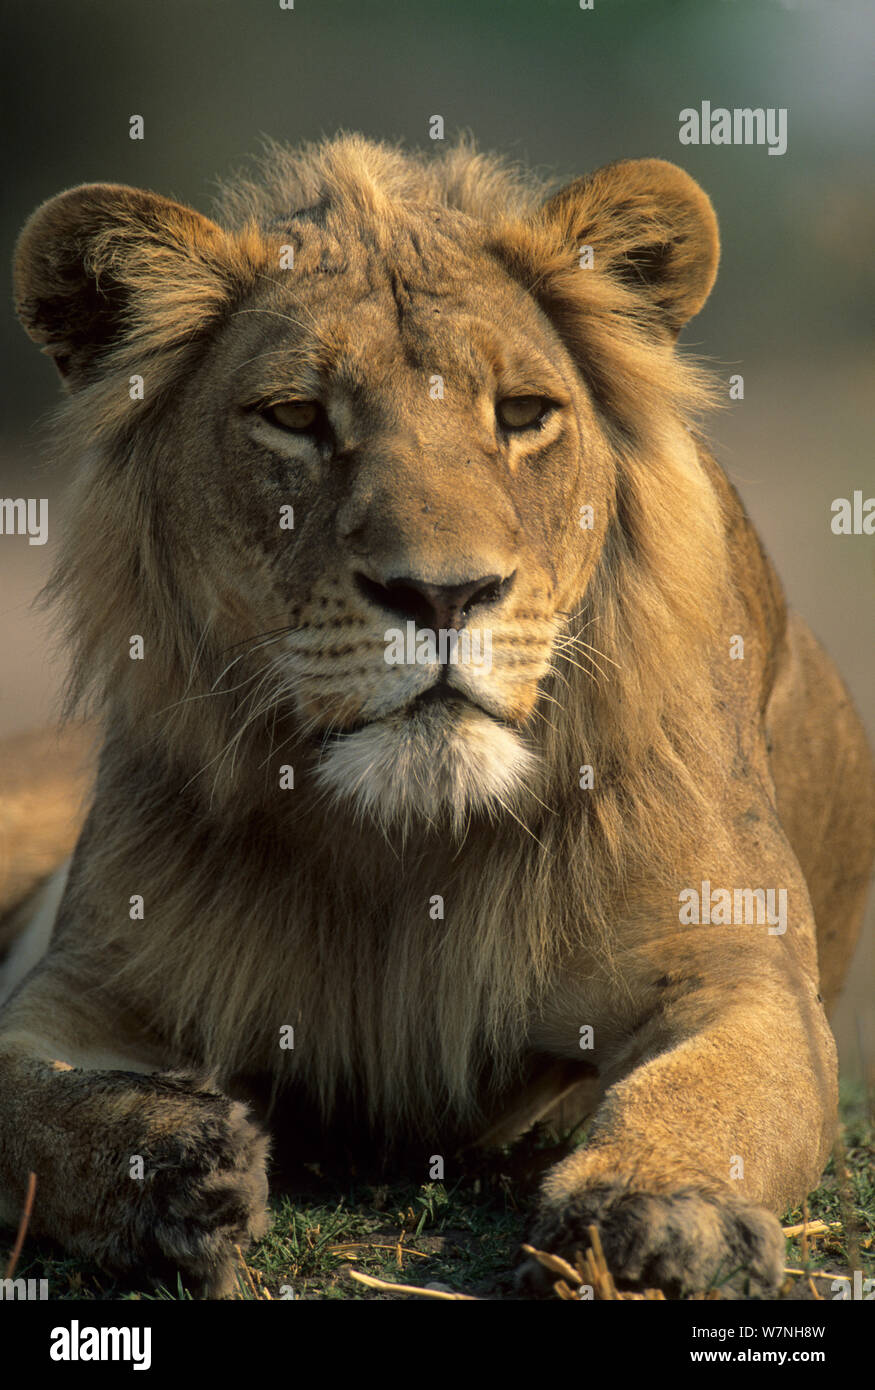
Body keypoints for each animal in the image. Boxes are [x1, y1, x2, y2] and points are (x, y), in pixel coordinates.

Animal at [1, 134, 873, 1299]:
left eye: (521, 413)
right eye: (295, 417)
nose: (443, 595)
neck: (402, 850)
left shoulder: (738, 971)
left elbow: (713, 1092)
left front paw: (653, 1211)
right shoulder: (83, 978)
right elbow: (27, 1100)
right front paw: (179, 1160)